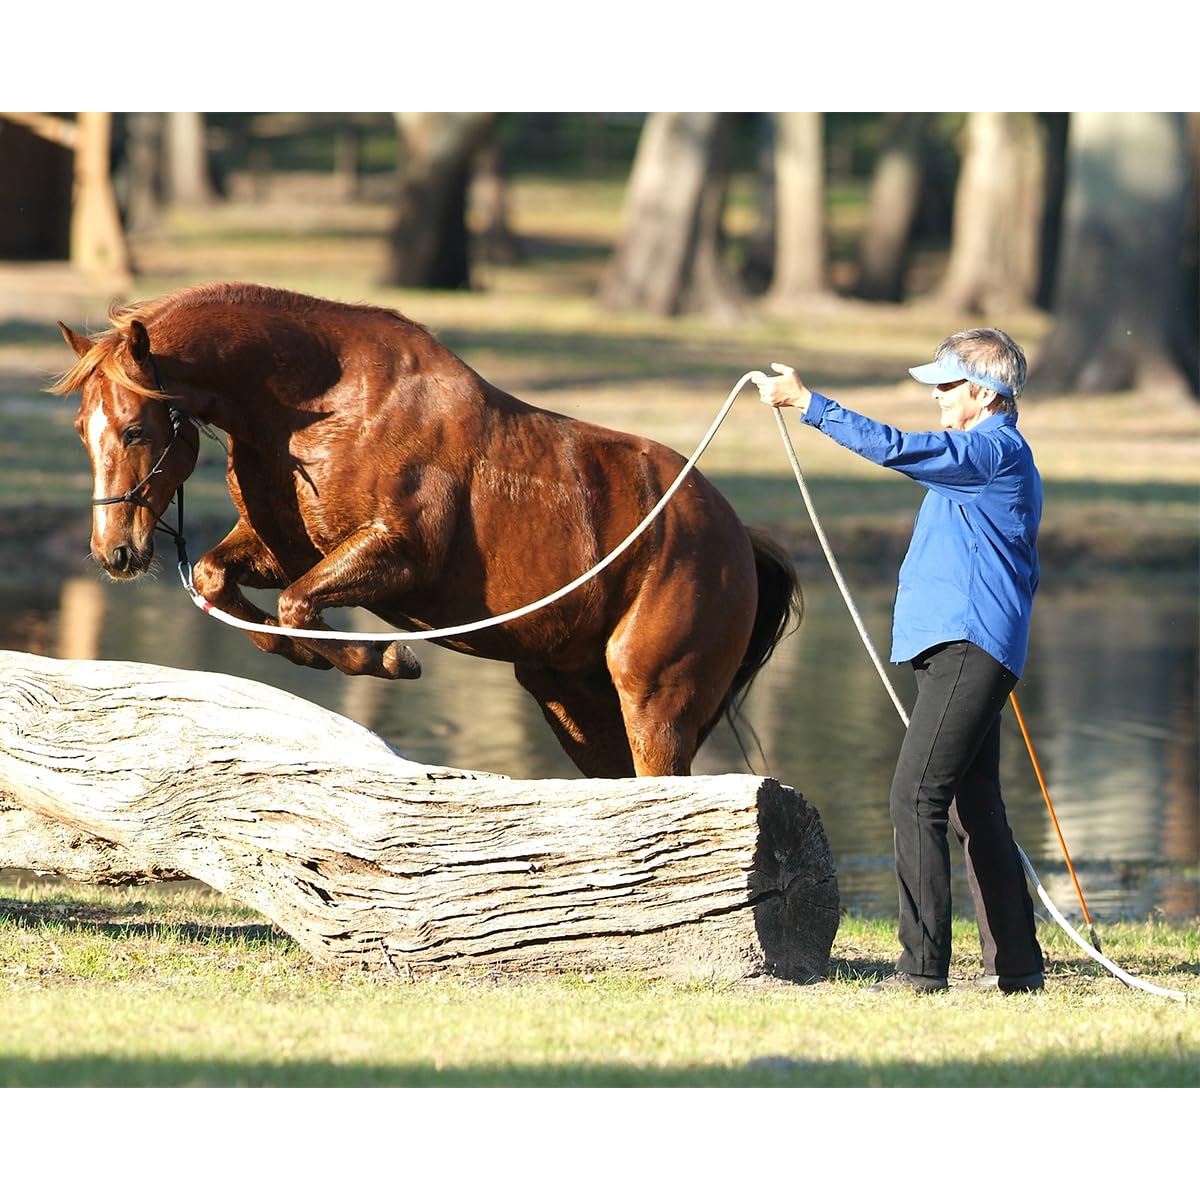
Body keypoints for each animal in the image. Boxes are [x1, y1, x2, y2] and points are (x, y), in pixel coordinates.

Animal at [53, 282, 801, 778]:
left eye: (135, 429)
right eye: (82, 430)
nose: (115, 551)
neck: (324, 404)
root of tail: (738, 538)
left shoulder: (401, 554)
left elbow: (297, 604)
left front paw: (386, 658)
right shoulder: (284, 548)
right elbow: (224, 583)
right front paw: (313, 654)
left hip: (653, 700)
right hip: (573, 698)